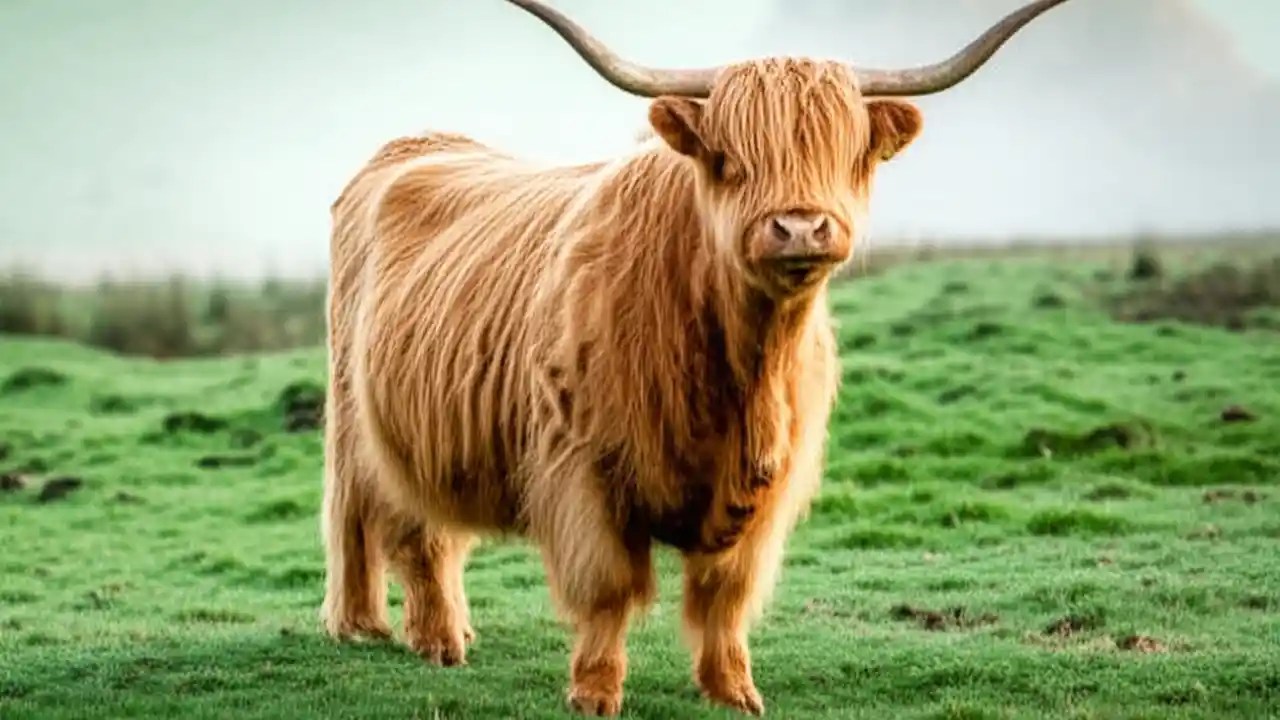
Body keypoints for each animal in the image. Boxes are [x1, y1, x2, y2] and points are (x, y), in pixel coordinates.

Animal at [319, 0, 1071, 715]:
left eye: (845, 153)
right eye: (730, 159)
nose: (800, 226)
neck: (741, 368)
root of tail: (416, 144)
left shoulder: (764, 490)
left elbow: (723, 594)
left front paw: (733, 689)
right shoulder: (585, 468)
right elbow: (608, 589)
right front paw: (595, 692)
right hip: (369, 432)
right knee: (403, 533)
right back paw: (424, 637)